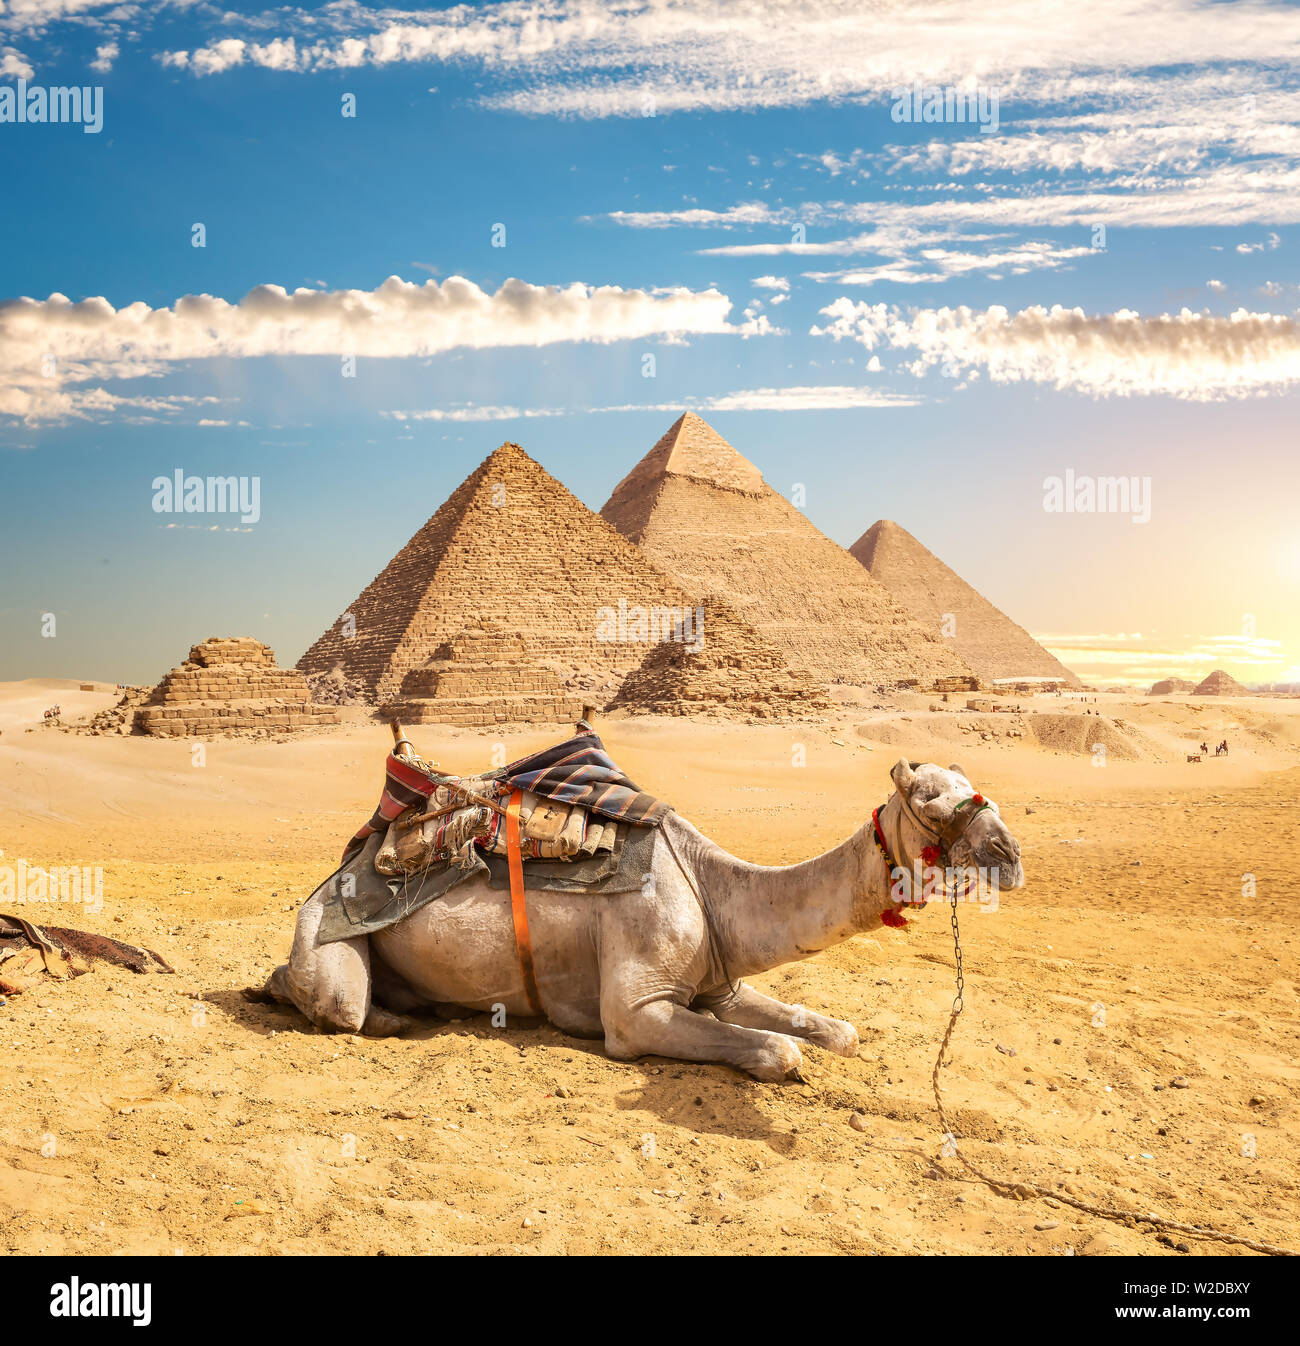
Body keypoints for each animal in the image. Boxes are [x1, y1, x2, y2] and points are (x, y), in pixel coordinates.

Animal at [255, 759, 1024, 1080]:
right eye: (927, 800)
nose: (1009, 855)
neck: (712, 886)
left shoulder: (721, 981)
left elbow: (840, 1033)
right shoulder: (635, 1011)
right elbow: (780, 1051)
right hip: (326, 930)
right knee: (339, 1001)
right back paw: (379, 1014)